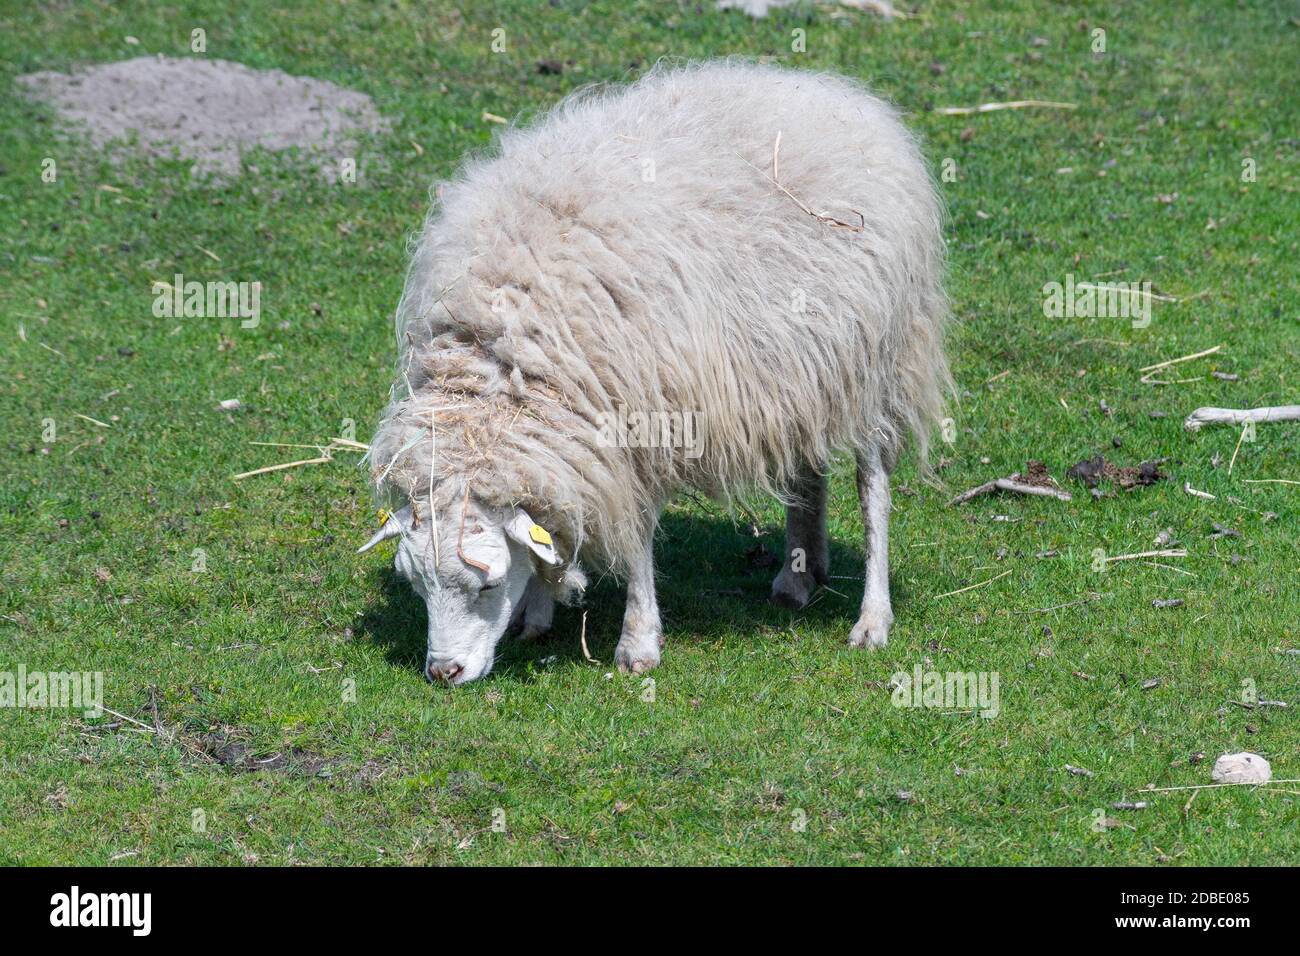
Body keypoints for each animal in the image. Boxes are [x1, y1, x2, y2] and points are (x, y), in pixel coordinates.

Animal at [358, 60, 951, 685]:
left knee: (873, 492)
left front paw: (637, 642)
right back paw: (797, 575)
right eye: (416, 586)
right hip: (800, 372)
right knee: (805, 470)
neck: (502, 357)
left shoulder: (641, 420)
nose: (442, 673)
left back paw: (872, 619)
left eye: (488, 585)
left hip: (881, 364)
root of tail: (831, 93)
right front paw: (538, 615)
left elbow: (637, 536)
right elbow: (552, 527)